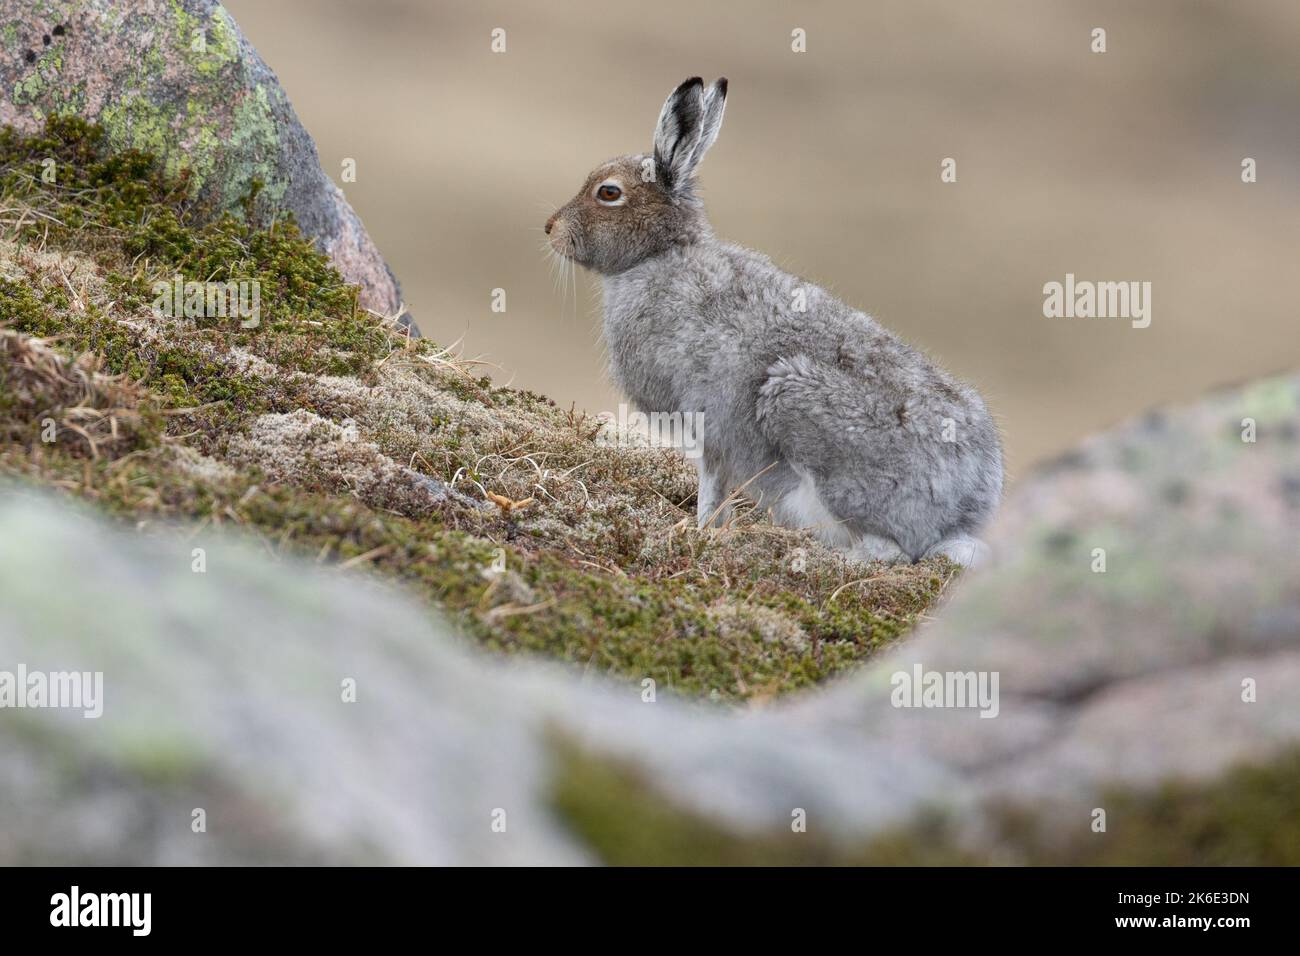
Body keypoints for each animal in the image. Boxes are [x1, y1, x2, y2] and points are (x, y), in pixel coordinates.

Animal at [545, 77, 1003, 566]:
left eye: (608, 192)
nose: (550, 228)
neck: (659, 254)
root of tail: (963, 509)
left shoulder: (709, 418)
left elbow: (712, 482)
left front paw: (701, 529)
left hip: (796, 402)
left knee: (887, 549)